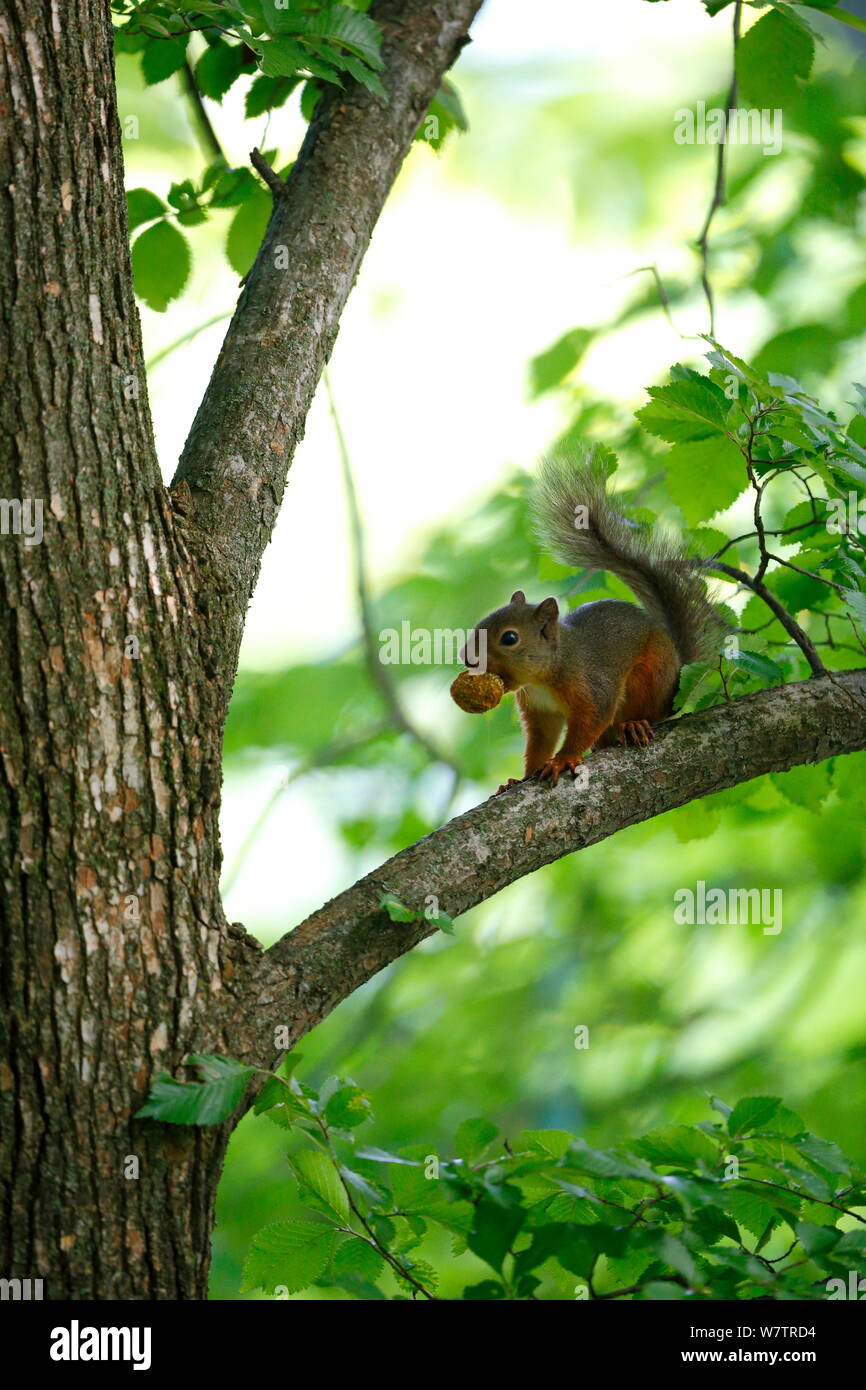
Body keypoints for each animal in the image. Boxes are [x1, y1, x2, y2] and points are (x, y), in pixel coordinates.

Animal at [461, 454, 723, 788]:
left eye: (509, 638)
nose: (467, 658)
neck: (546, 674)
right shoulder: (540, 712)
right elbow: (539, 743)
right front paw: (521, 778)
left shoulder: (593, 688)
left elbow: (589, 723)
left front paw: (562, 760)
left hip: (652, 675)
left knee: (649, 714)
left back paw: (634, 725)